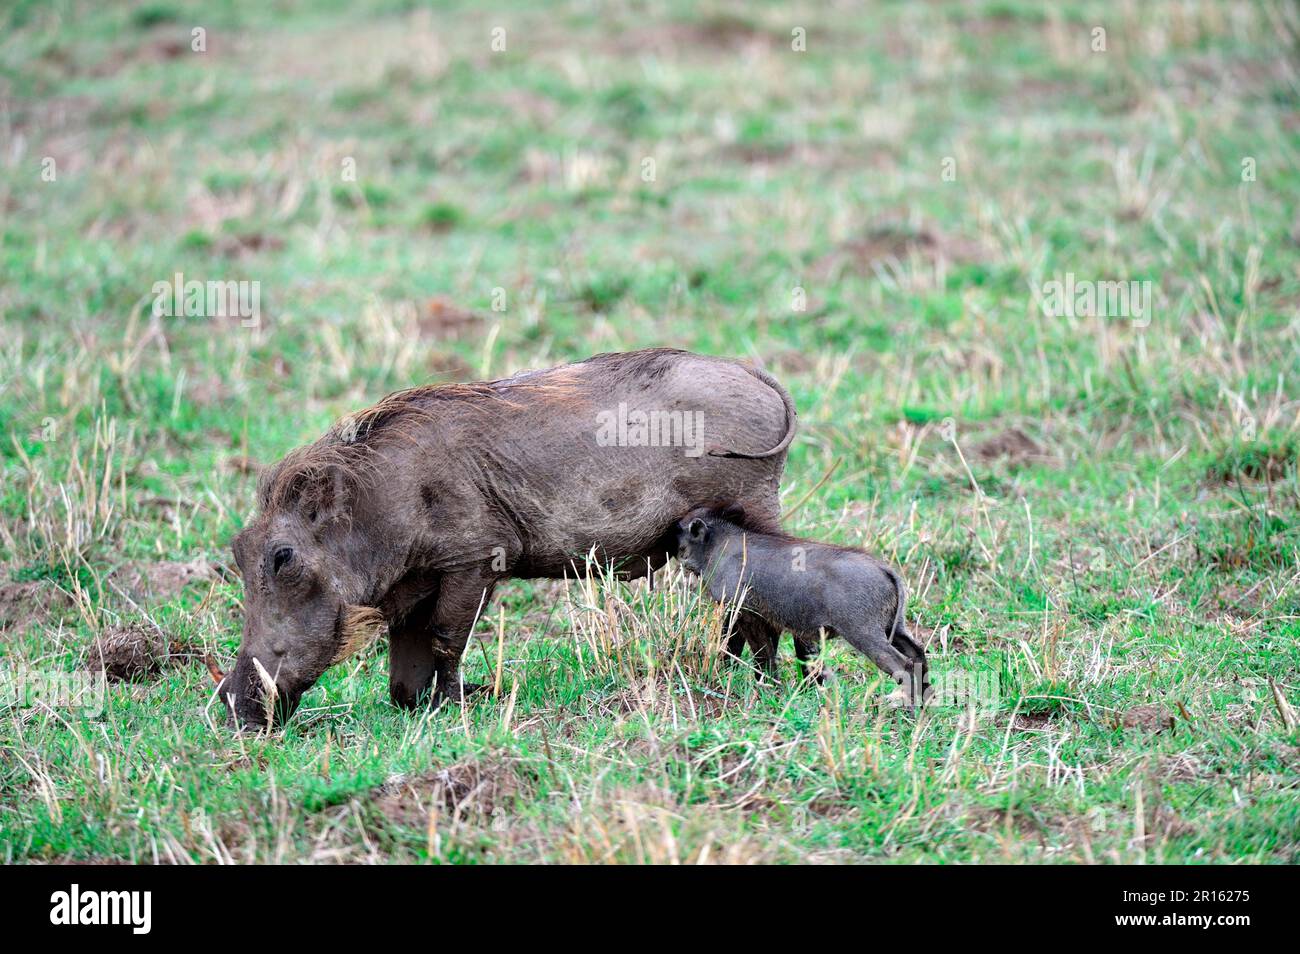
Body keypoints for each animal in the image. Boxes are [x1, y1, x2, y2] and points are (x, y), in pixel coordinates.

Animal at [219, 349, 796, 729]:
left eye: (284, 558)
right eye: (238, 549)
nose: (236, 709)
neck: (382, 502)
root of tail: (757, 376)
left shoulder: (473, 561)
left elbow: (446, 638)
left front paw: (457, 706)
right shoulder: (412, 586)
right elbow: (403, 675)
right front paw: (430, 705)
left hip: (753, 512)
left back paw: (762, 679)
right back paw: (733, 673)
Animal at [675, 507, 929, 707]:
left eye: (680, 535)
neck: (716, 546)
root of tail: (884, 569)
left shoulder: (746, 613)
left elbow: (759, 653)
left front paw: (768, 690)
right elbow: (741, 648)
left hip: (864, 633)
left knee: (902, 664)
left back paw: (909, 710)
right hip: (893, 627)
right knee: (917, 654)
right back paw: (925, 705)